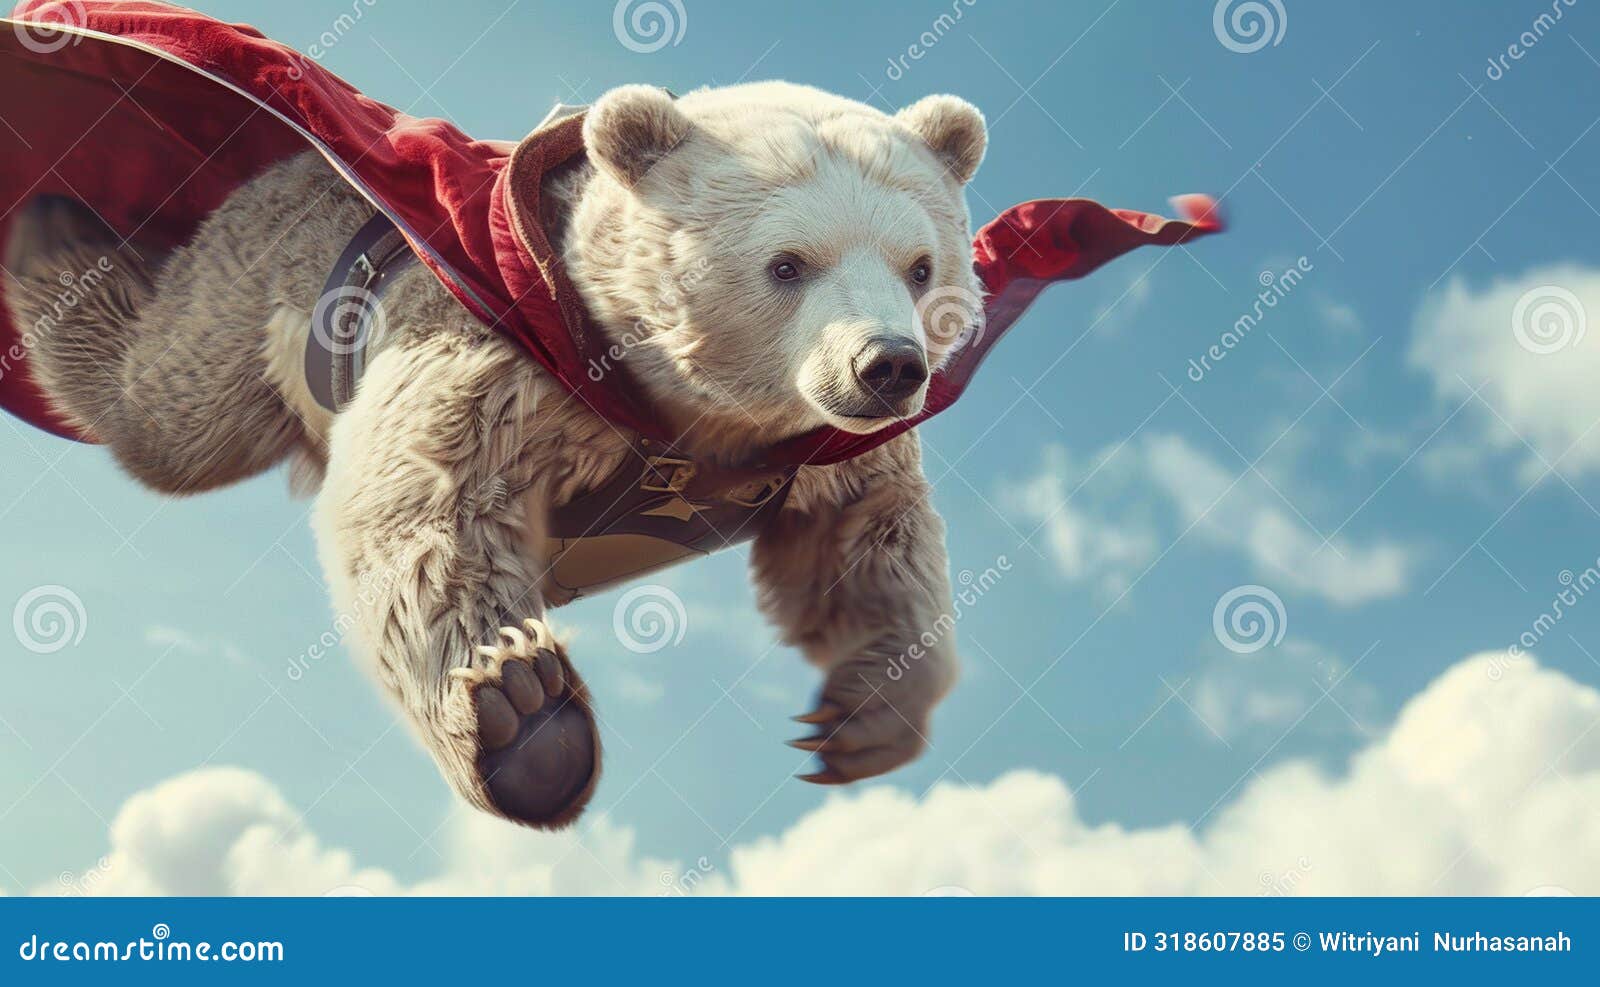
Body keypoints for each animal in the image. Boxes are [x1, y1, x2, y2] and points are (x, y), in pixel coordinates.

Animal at [4, 80, 987, 828]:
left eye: (920, 264)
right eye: (788, 263)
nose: (887, 366)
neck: (675, 409)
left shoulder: (814, 457)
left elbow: (864, 547)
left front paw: (863, 708)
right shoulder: (494, 363)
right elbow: (423, 513)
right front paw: (523, 716)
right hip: (253, 294)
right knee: (164, 411)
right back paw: (54, 228)